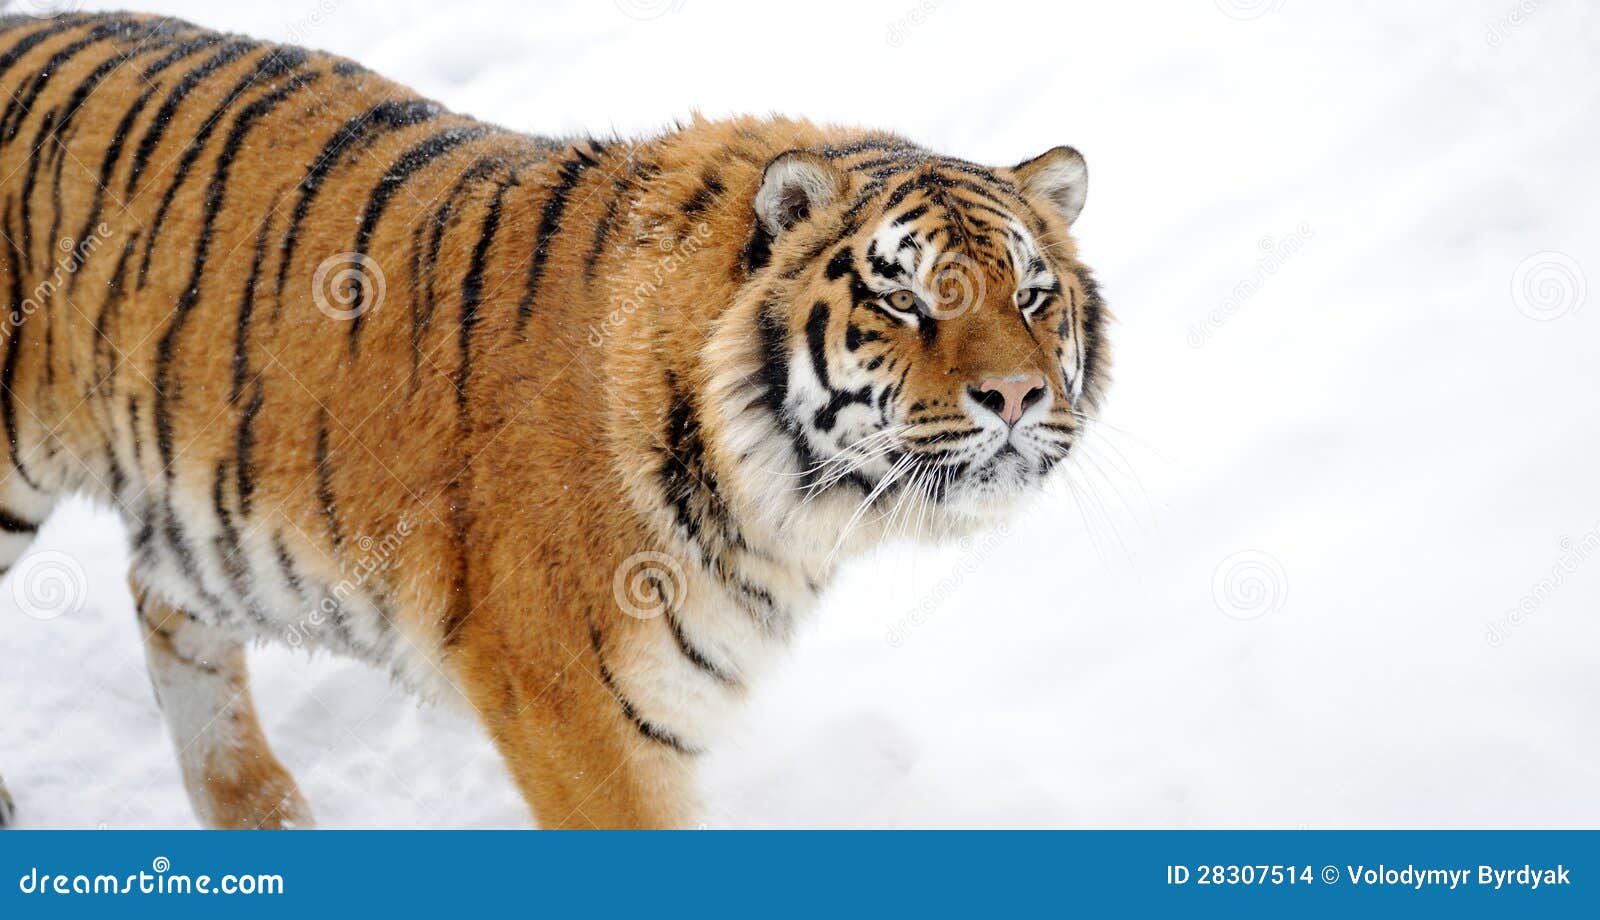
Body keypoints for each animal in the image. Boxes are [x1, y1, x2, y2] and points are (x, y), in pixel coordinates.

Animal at [0, 10, 1108, 829]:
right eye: (906, 301)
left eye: (1030, 297)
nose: (1015, 396)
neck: (786, 506)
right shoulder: (579, 715)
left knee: (160, 597)